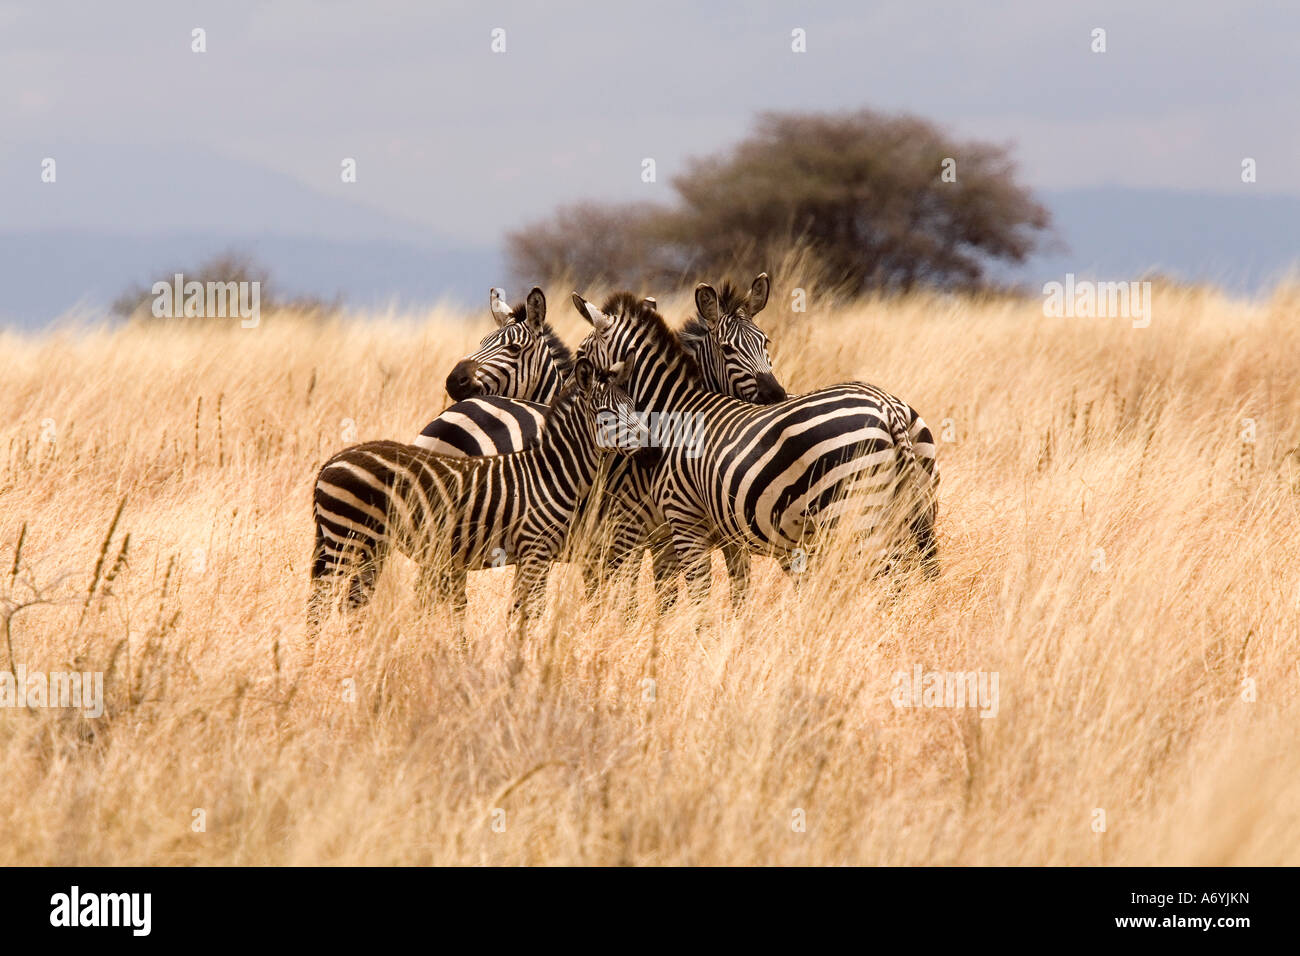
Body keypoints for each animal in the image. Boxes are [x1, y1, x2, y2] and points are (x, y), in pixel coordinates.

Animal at [308, 351, 638, 638]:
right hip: (345, 537)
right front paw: (522, 658)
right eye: (607, 416)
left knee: (346, 603)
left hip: (368, 544)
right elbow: (529, 611)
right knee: (322, 604)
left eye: (633, 406)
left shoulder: (534, 554)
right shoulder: (536, 549)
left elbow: (520, 610)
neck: (551, 472)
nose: (644, 439)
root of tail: (332, 460)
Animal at [570, 289, 939, 606]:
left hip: (855, 514)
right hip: (905, 510)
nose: (567, 392)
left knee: (886, 580)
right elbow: (735, 593)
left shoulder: (681, 519)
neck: (674, 408)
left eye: (581, 355)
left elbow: (696, 597)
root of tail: (887, 408)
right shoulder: (723, 530)